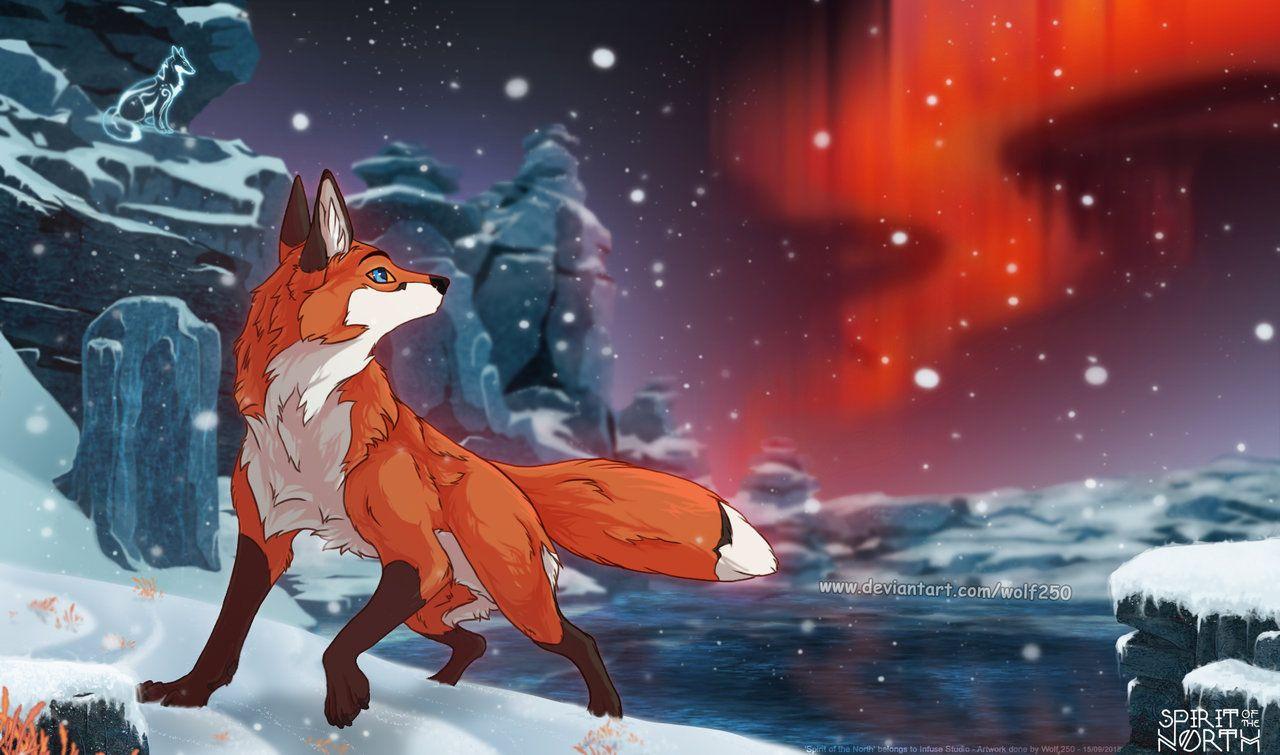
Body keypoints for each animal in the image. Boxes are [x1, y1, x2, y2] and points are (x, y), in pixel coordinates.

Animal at [136, 171, 778, 728]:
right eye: (381, 275)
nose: (445, 282)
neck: (302, 418)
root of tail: (505, 476)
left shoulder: (415, 560)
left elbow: (334, 647)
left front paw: (344, 699)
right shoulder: (265, 542)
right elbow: (223, 638)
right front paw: (186, 696)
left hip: (510, 599)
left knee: (578, 640)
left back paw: (607, 716)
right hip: (431, 606)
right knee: (476, 642)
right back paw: (442, 689)